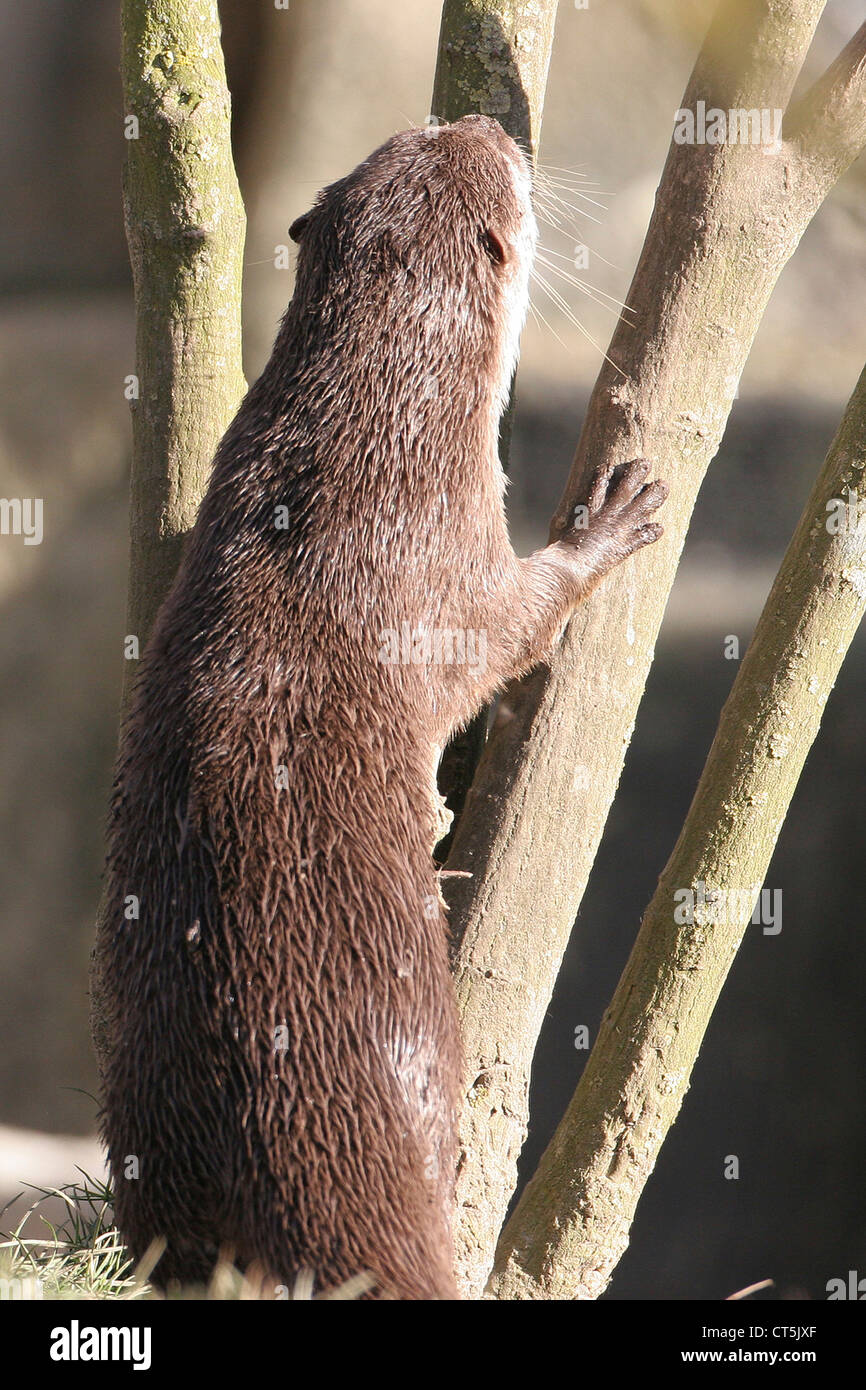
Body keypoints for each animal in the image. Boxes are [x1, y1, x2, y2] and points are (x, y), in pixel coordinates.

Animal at [96, 114, 667, 1299]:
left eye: (424, 130)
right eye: (495, 167)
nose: (492, 123)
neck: (361, 449)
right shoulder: (449, 557)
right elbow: (516, 623)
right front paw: (607, 520)